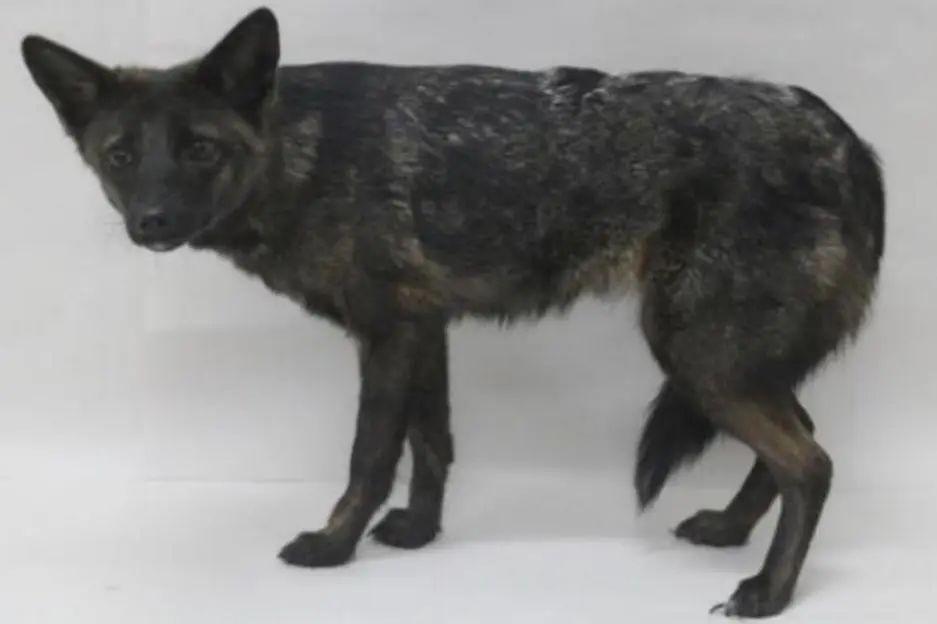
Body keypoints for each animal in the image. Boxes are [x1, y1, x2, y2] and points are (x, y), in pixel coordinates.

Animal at [22, 7, 884, 618]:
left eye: (200, 149)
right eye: (120, 156)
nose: (152, 223)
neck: (304, 152)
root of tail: (844, 137)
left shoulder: (387, 333)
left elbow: (370, 454)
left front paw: (333, 546)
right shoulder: (422, 328)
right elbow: (430, 442)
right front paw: (416, 534)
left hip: (698, 356)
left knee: (810, 462)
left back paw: (767, 593)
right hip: (724, 363)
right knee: (799, 439)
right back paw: (730, 533)